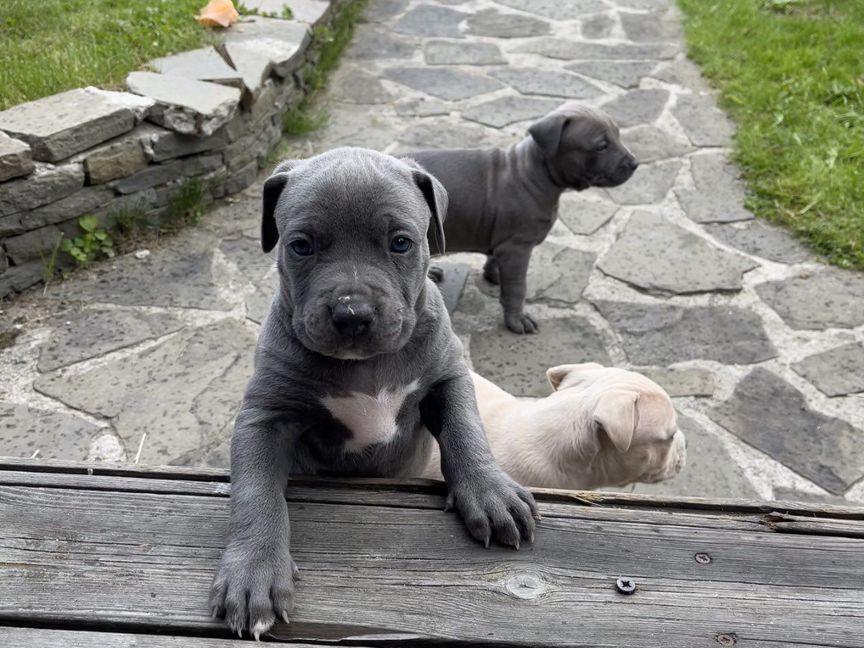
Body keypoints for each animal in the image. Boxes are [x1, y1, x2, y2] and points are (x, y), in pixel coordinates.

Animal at [209, 148, 539, 638]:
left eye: (400, 243)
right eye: (300, 246)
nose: (352, 313)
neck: (365, 366)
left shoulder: (448, 377)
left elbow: (466, 432)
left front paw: (491, 492)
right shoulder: (264, 416)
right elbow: (256, 491)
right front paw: (253, 573)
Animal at [406, 102, 638, 334]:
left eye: (619, 135)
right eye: (601, 146)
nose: (635, 163)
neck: (535, 172)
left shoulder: (505, 244)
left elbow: (497, 265)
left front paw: (495, 276)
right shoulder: (517, 248)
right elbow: (518, 288)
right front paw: (518, 320)